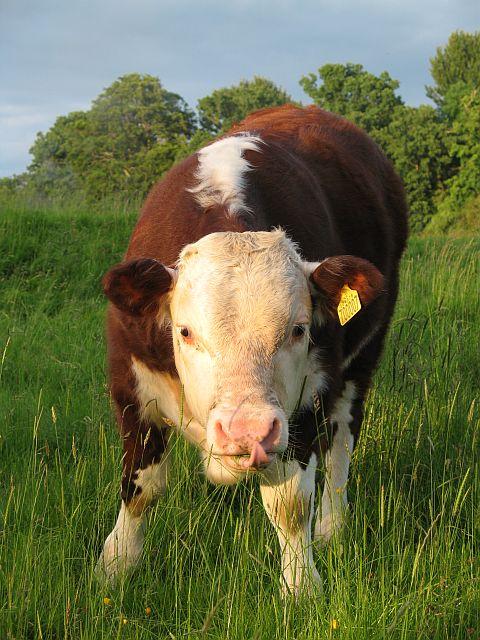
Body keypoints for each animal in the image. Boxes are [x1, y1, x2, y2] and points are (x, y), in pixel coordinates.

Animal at [96, 104, 408, 595]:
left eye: (298, 330)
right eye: (185, 331)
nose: (247, 431)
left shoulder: (308, 399)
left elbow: (290, 503)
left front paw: (301, 588)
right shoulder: (130, 386)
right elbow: (141, 486)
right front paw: (116, 566)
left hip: (363, 360)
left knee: (342, 440)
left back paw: (333, 527)